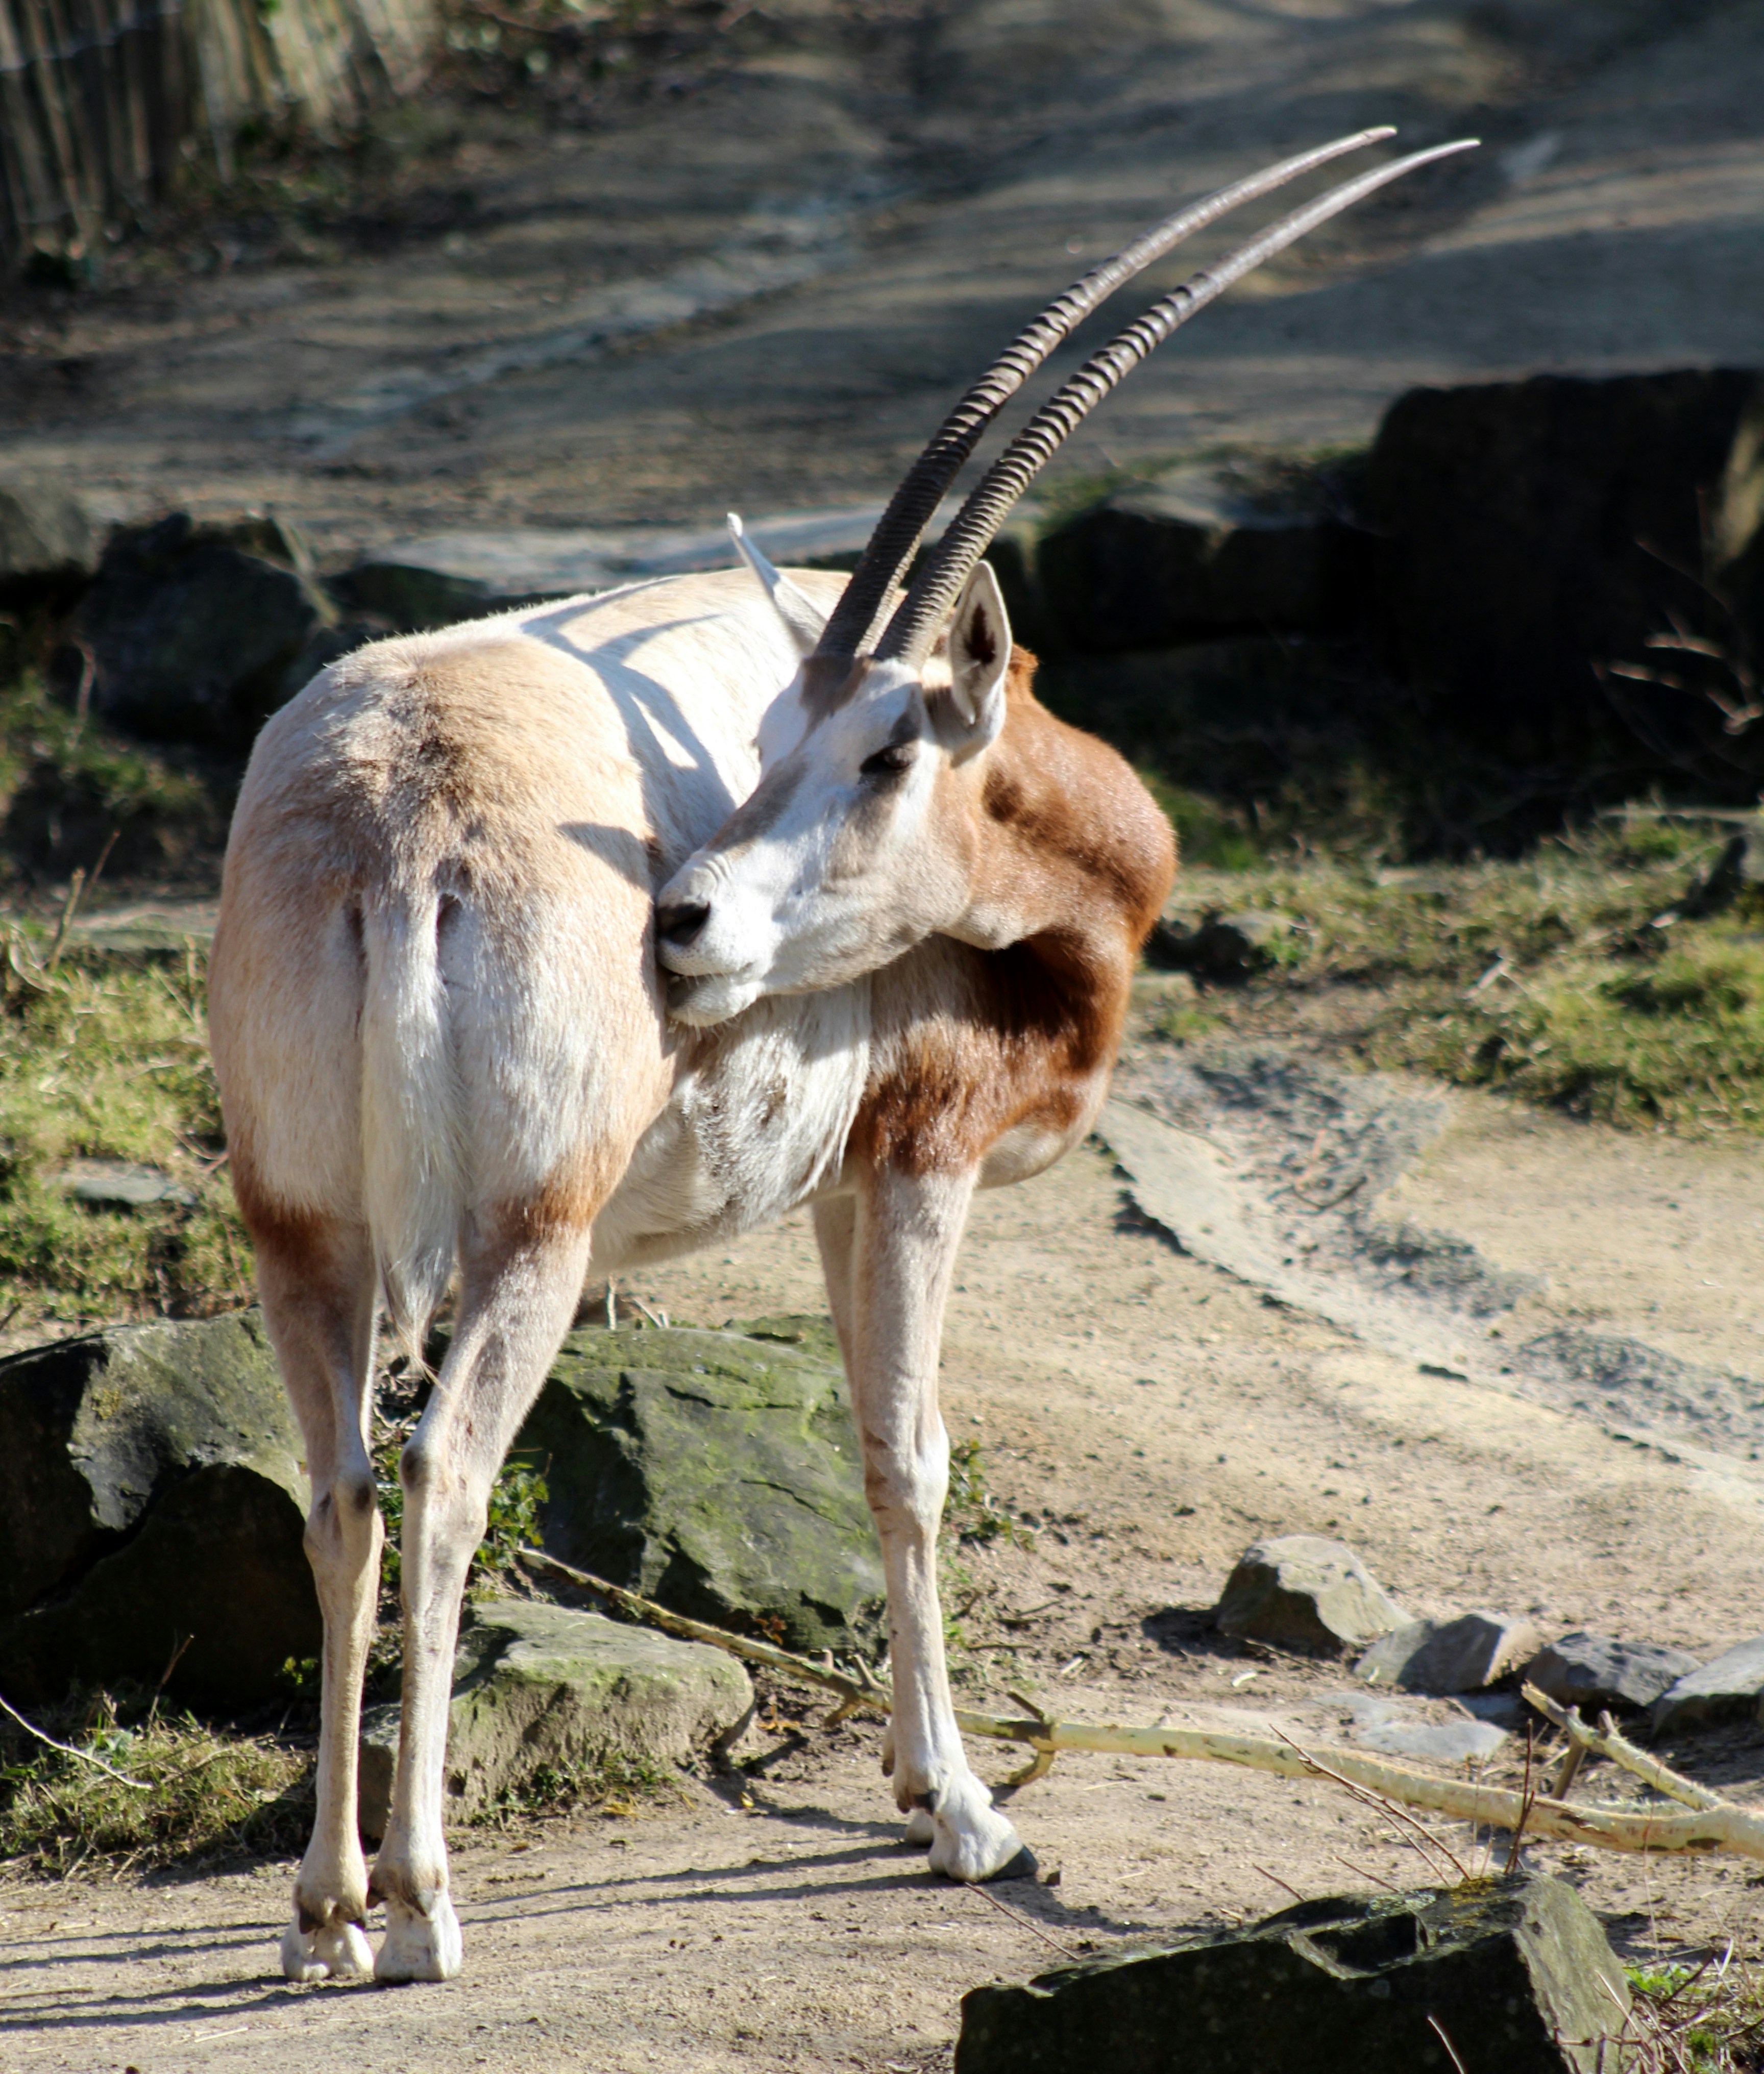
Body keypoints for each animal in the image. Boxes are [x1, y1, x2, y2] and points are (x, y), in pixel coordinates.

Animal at [207, 127, 1473, 1984]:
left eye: (872, 747)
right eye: (787, 740)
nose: (680, 922)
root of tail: (392, 810)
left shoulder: (822, 1183)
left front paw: (913, 1773)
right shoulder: (923, 1158)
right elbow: (910, 1451)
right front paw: (961, 1809)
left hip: (306, 1231)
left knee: (340, 1490)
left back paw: (324, 1915)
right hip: (530, 1232)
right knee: (440, 1475)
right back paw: (427, 1905)